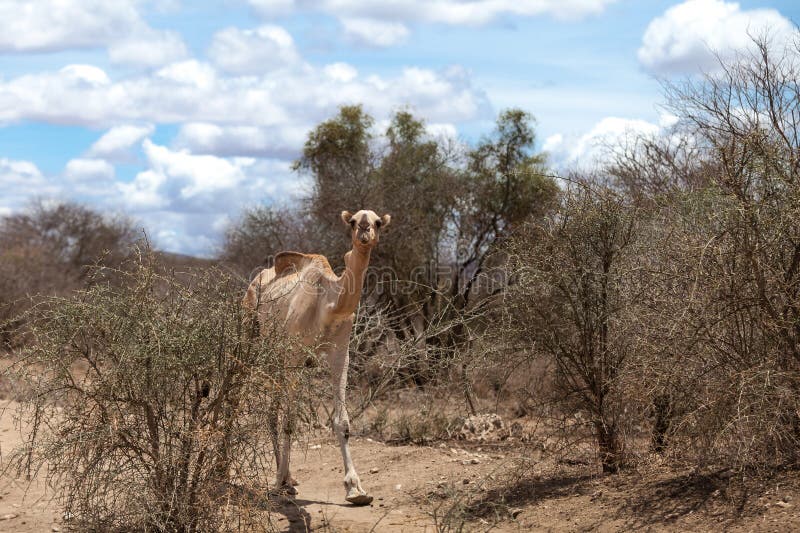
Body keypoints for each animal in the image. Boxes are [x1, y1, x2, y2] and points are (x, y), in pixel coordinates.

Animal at [243, 209, 391, 506]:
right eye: (353, 221)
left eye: (378, 222)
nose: (365, 231)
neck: (328, 305)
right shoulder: (295, 352)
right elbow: (290, 422)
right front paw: (278, 483)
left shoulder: (340, 352)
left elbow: (342, 421)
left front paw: (356, 489)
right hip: (251, 334)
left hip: (276, 355)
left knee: (272, 409)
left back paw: (290, 479)